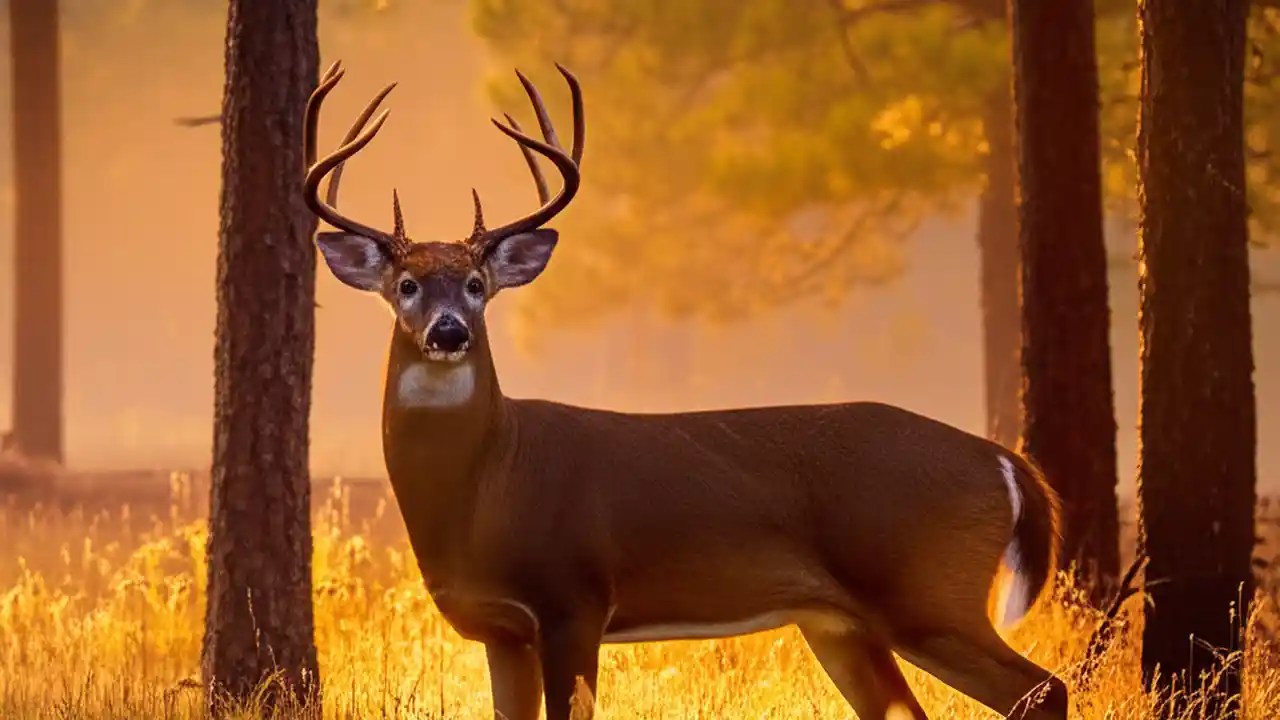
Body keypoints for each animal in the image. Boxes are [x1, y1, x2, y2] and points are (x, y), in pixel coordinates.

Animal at [302, 60, 1069, 720]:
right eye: (406, 284)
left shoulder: (574, 596)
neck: (487, 487)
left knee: (1043, 690)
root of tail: (1007, 462)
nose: (450, 330)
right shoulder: (498, 626)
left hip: (927, 589)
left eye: (475, 284)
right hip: (839, 622)